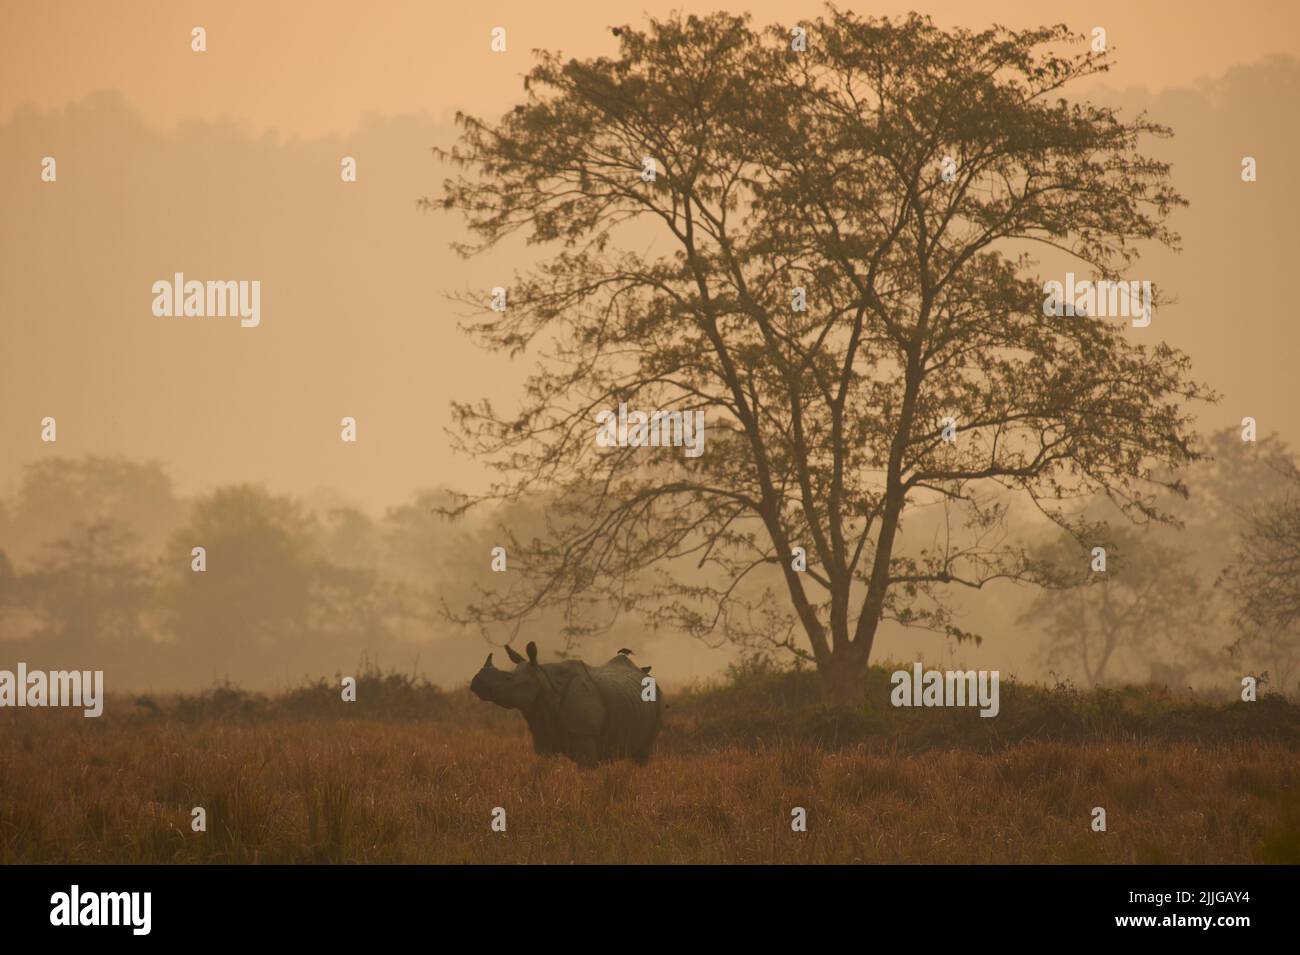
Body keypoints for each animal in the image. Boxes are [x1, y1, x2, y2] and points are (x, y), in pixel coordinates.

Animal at [469, 642, 662, 766]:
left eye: (508, 679)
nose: (477, 682)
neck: (544, 682)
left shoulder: (584, 733)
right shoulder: (542, 734)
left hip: (657, 698)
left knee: (643, 754)